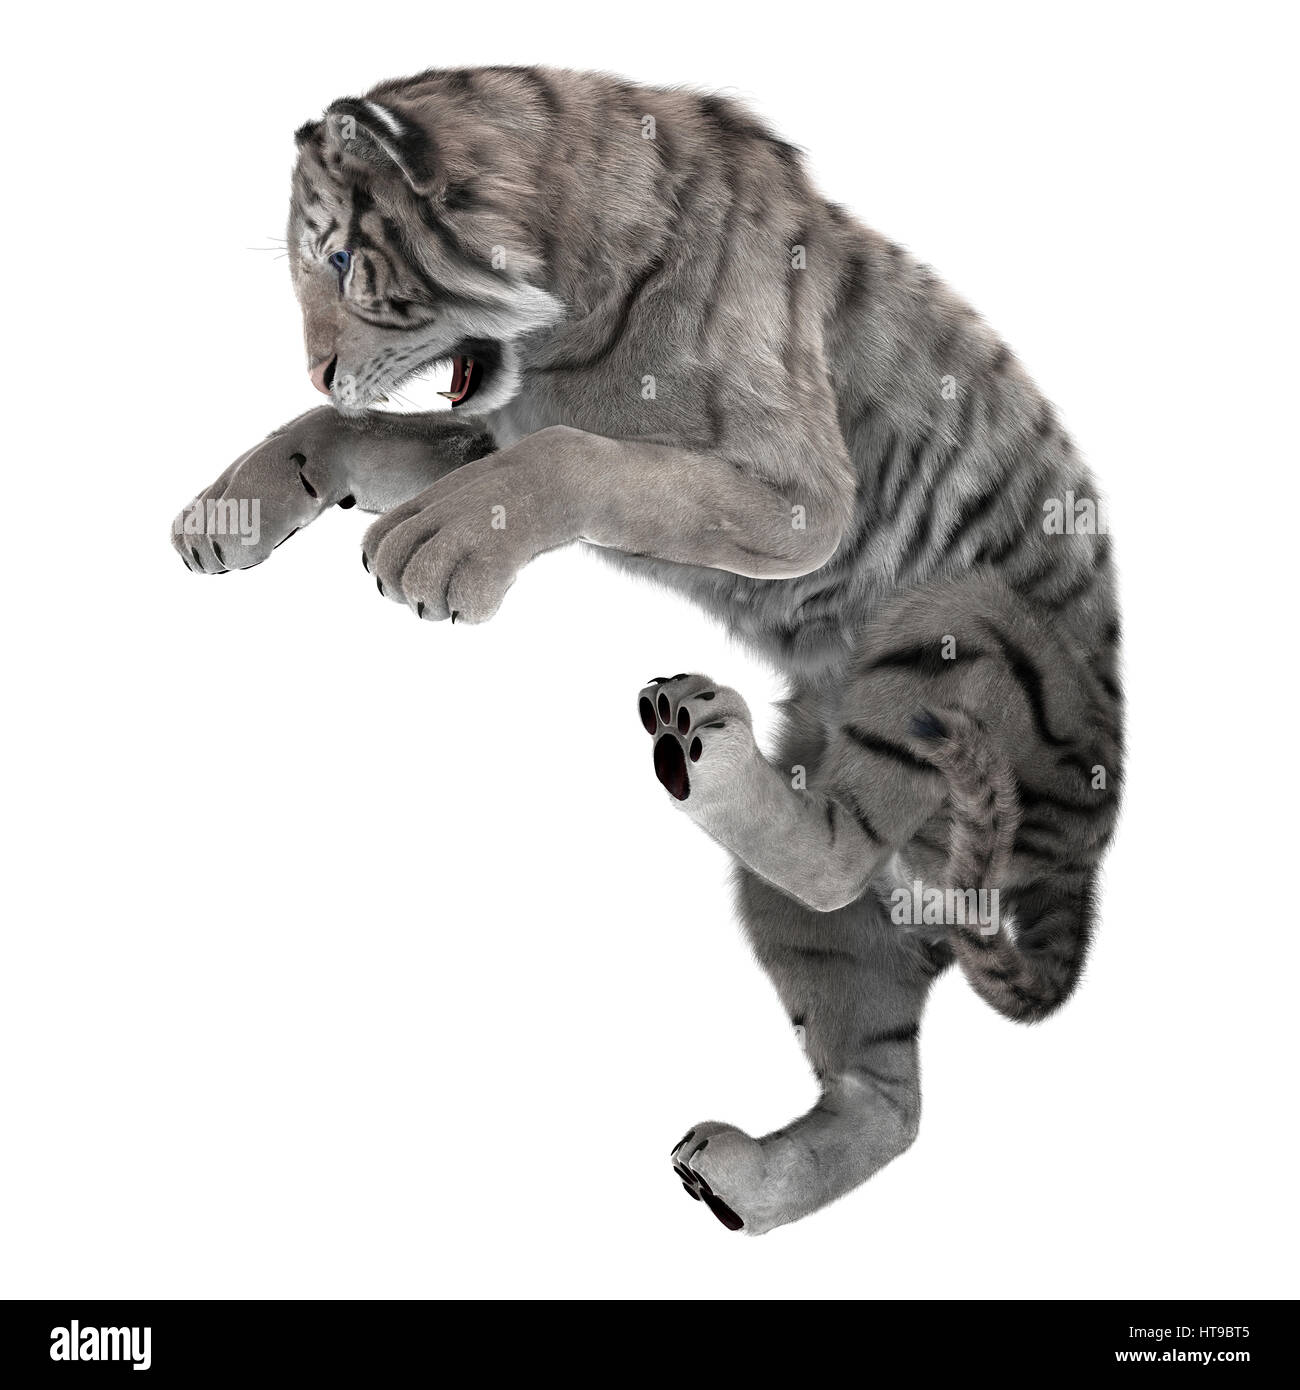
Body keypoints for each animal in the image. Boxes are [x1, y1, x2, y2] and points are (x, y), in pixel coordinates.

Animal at [171, 66, 1123, 1235]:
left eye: (343, 260)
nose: (318, 364)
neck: (563, 305)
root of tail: (1081, 860)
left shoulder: (798, 494)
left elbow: (577, 456)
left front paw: (428, 558)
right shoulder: (482, 423)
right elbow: (353, 434)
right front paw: (222, 515)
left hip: (957, 629)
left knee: (843, 852)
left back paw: (696, 746)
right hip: (822, 926)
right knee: (882, 1085)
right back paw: (740, 1180)